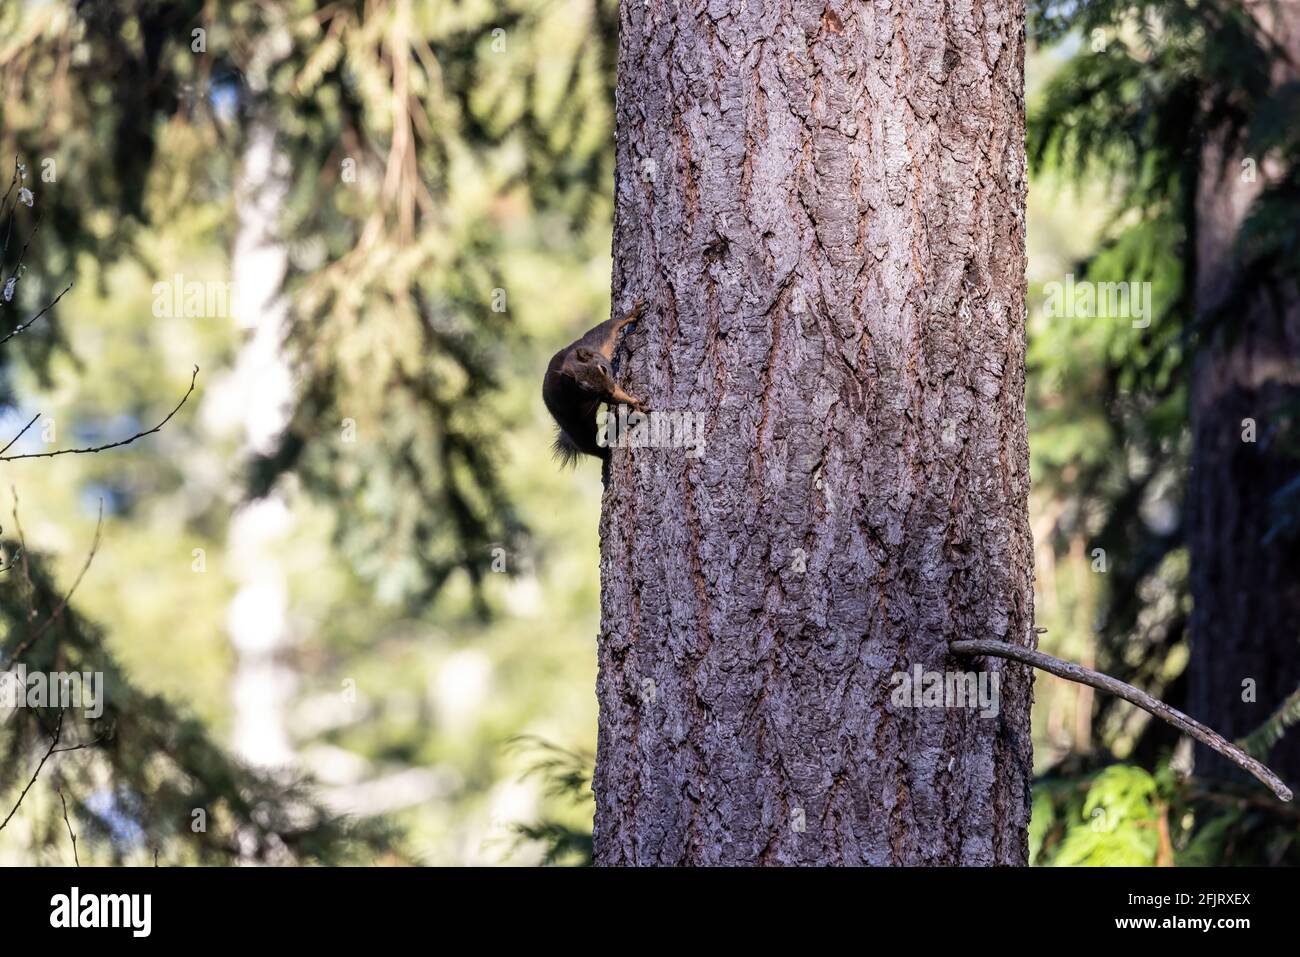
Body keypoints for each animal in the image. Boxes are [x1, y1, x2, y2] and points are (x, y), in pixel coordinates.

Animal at [543, 299, 646, 466]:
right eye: (585, 389)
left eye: (603, 369)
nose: (609, 391)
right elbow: (614, 397)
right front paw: (633, 402)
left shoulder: (597, 342)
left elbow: (611, 325)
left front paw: (632, 313)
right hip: (575, 425)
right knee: (590, 445)